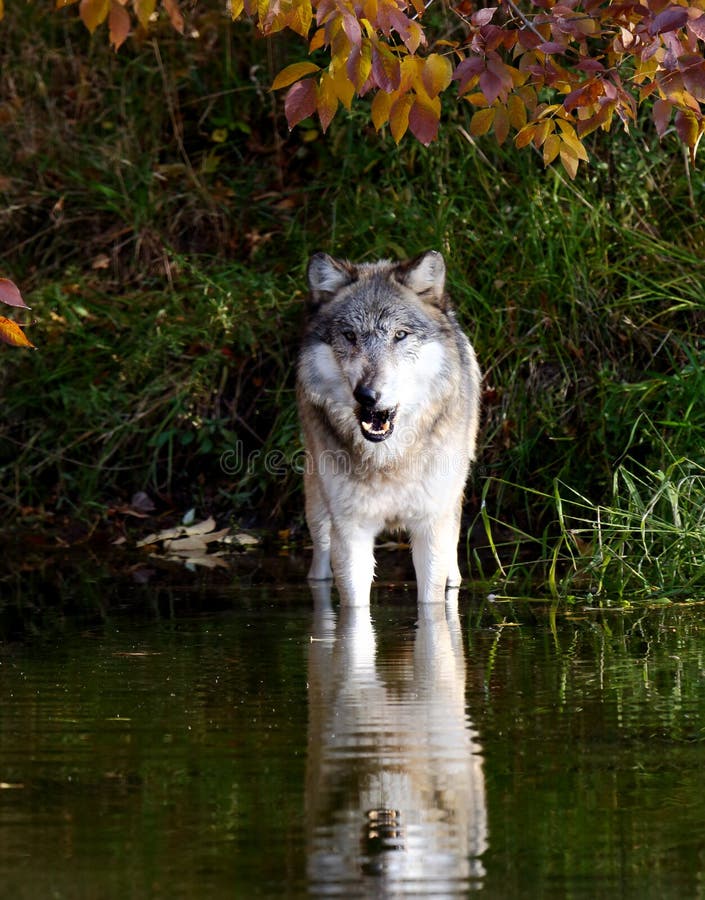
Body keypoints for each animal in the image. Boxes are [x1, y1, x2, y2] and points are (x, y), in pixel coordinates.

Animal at [297, 250, 481, 605]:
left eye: (400, 335)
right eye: (350, 336)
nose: (367, 395)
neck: (388, 458)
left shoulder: (429, 526)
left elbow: (431, 604)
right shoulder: (351, 529)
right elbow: (355, 608)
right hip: (317, 503)